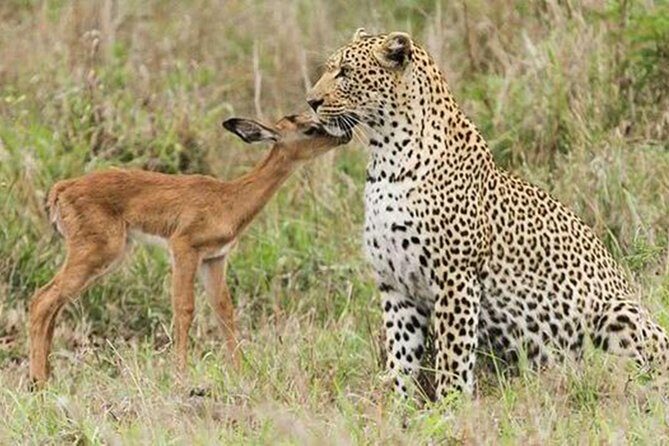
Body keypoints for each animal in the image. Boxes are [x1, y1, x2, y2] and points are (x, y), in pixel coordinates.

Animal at [306, 28, 669, 400]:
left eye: (345, 72)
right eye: (330, 69)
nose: (311, 102)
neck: (386, 158)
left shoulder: (454, 277)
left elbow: (452, 354)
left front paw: (449, 405)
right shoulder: (395, 285)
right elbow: (401, 354)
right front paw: (399, 404)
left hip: (618, 312)